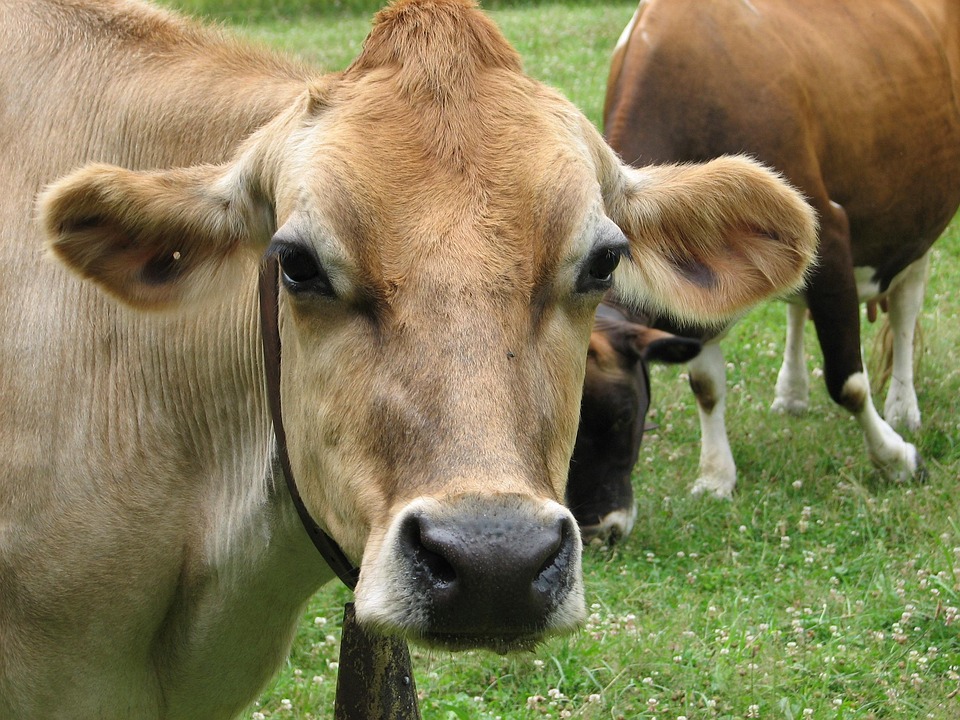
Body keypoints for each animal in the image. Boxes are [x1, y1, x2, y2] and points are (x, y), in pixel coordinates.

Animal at [604, 0, 960, 499]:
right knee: (798, 303)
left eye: (620, 414)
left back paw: (903, 406)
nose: (596, 523)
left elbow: (849, 382)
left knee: (906, 309)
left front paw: (897, 459)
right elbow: (706, 384)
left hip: (917, 219)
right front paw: (716, 476)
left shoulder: (830, 237)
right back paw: (792, 392)